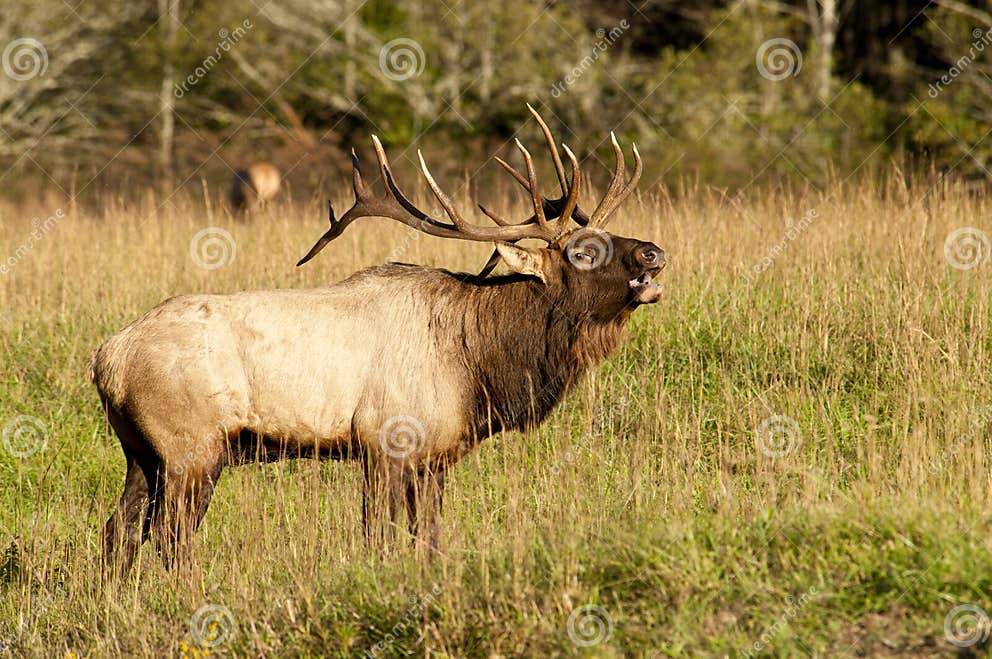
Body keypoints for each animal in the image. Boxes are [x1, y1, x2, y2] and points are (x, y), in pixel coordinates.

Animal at [92, 106, 665, 575]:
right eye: (582, 253)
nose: (653, 253)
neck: (478, 363)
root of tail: (107, 359)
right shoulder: (384, 440)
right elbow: (381, 540)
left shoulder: (435, 457)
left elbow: (430, 540)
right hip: (192, 446)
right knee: (170, 537)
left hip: (140, 450)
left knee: (118, 531)